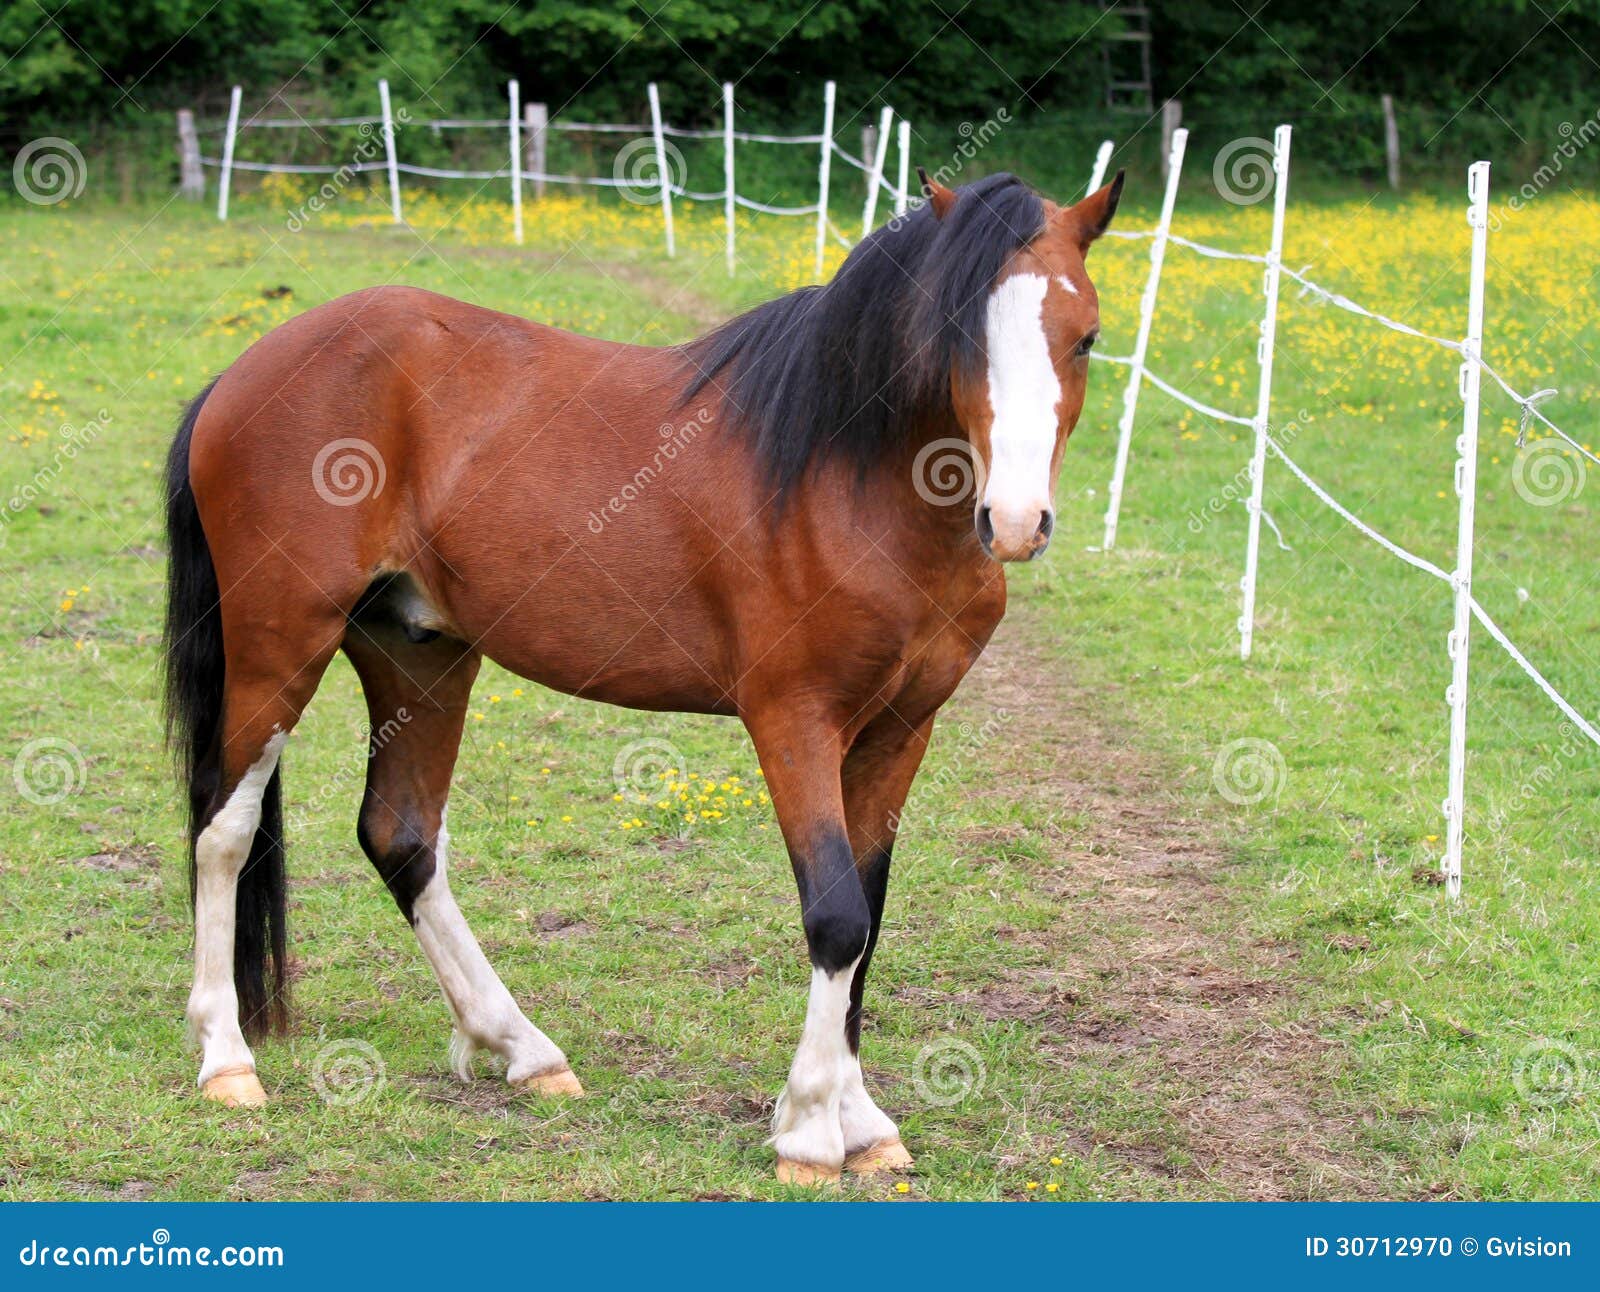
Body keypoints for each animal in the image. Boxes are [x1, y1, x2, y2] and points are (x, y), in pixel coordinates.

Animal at [162, 165, 1123, 1183]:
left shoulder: (900, 730)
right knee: (223, 831)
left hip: (418, 652)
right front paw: (810, 1129)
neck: (844, 476)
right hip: (280, 645)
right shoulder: (795, 722)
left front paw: (862, 1123)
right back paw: (227, 1059)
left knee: (402, 838)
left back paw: (521, 1047)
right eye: (957, 335)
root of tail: (242, 373)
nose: (1015, 521)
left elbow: (870, 913)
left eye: (1086, 335)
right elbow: (836, 916)